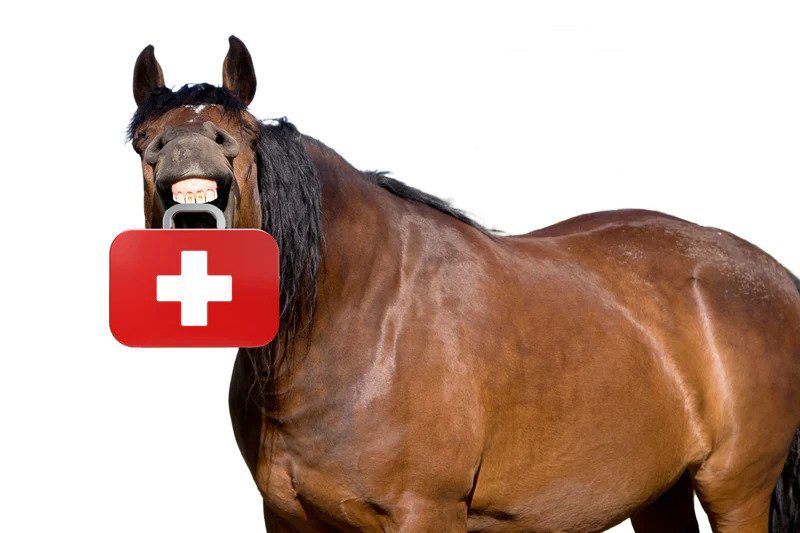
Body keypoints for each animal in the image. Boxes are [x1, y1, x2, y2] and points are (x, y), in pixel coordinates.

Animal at [128, 36, 800, 532]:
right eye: (143, 144)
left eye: (234, 141)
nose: (187, 176)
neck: (356, 321)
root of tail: (775, 276)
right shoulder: (288, 520)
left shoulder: (426, 513)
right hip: (661, 491)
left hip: (736, 492)